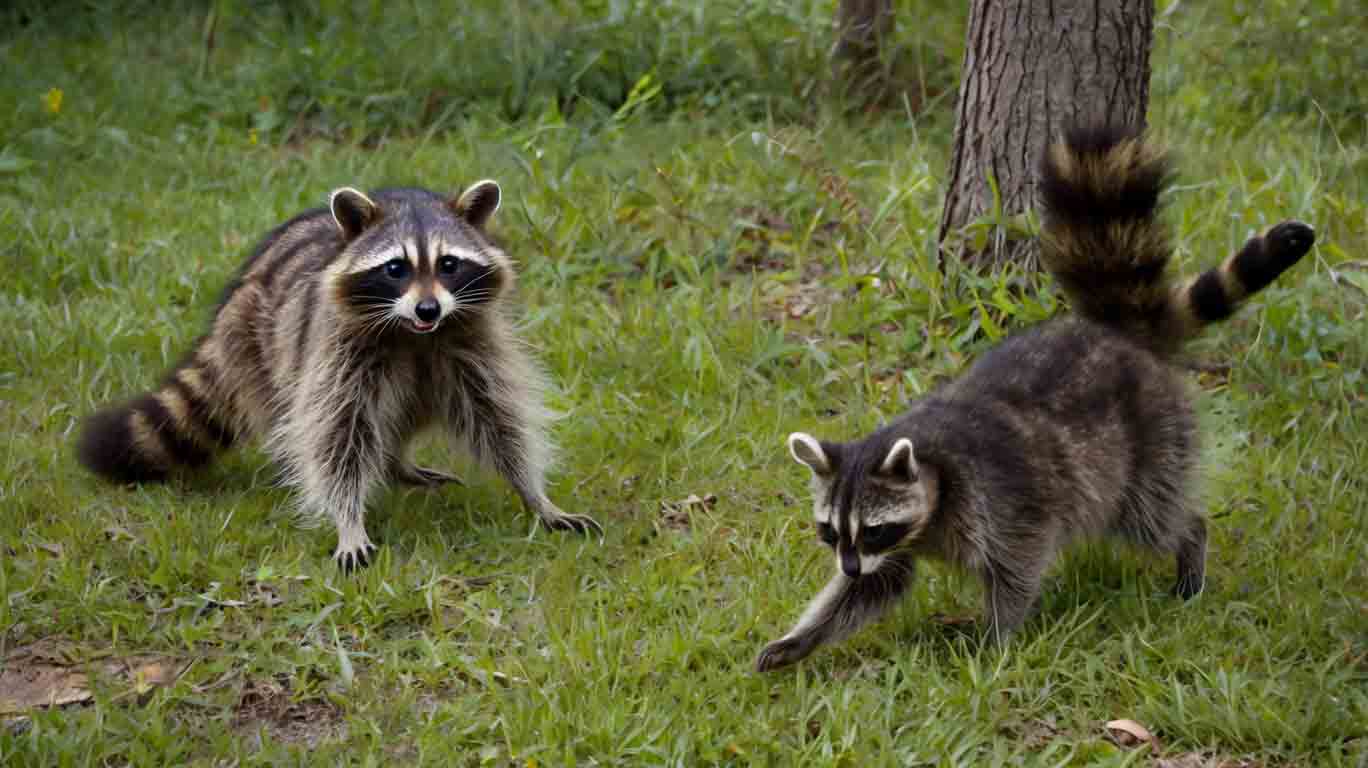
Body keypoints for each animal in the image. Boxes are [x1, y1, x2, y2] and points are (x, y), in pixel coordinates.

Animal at [78, 182, 600, 570]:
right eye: (396, 268)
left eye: (449, 264)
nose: (428, 309)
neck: (412, 333)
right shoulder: (336, 351)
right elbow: (336, 436)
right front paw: (348, 521)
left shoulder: (470, 343)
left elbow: (498, 420)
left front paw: (535, 496)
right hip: (259, 348)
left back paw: (397, 461)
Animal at [756, 126, 1316, 671]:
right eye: (830, 532)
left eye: (872, 530)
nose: (846, 566)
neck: (930, 469)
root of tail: (1119, 336)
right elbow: (876, 587)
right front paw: (804, 636)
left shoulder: (1004, 498)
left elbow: (1019, 561)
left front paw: (996, 638)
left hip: (1155, 438)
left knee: (1153, 514)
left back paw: (1190, 547)